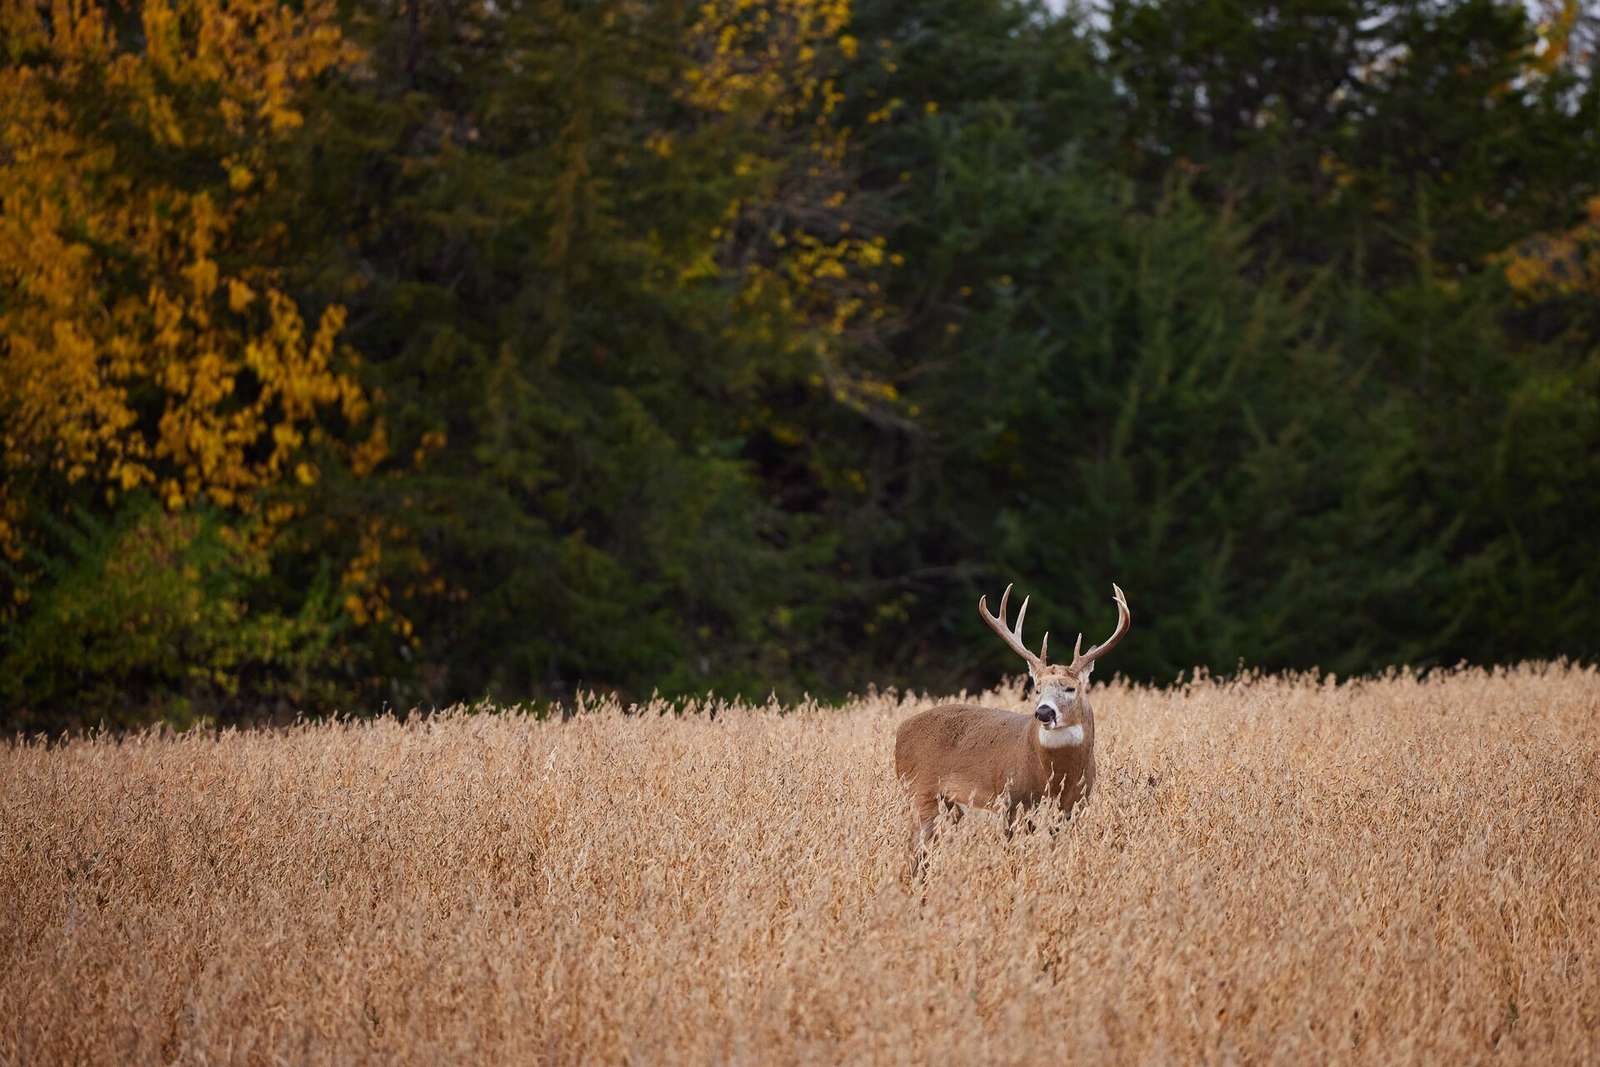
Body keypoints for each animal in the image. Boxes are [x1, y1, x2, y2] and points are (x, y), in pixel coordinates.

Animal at [894, 582, 1130, 878]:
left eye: (1070, 688)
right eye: (1037, 688)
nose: (1044, 712)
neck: (1054, 776)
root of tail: (901, 730)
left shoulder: (1075, 807)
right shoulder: (1011, 801)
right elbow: (1014, 856)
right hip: (920, 793)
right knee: (914, 849)